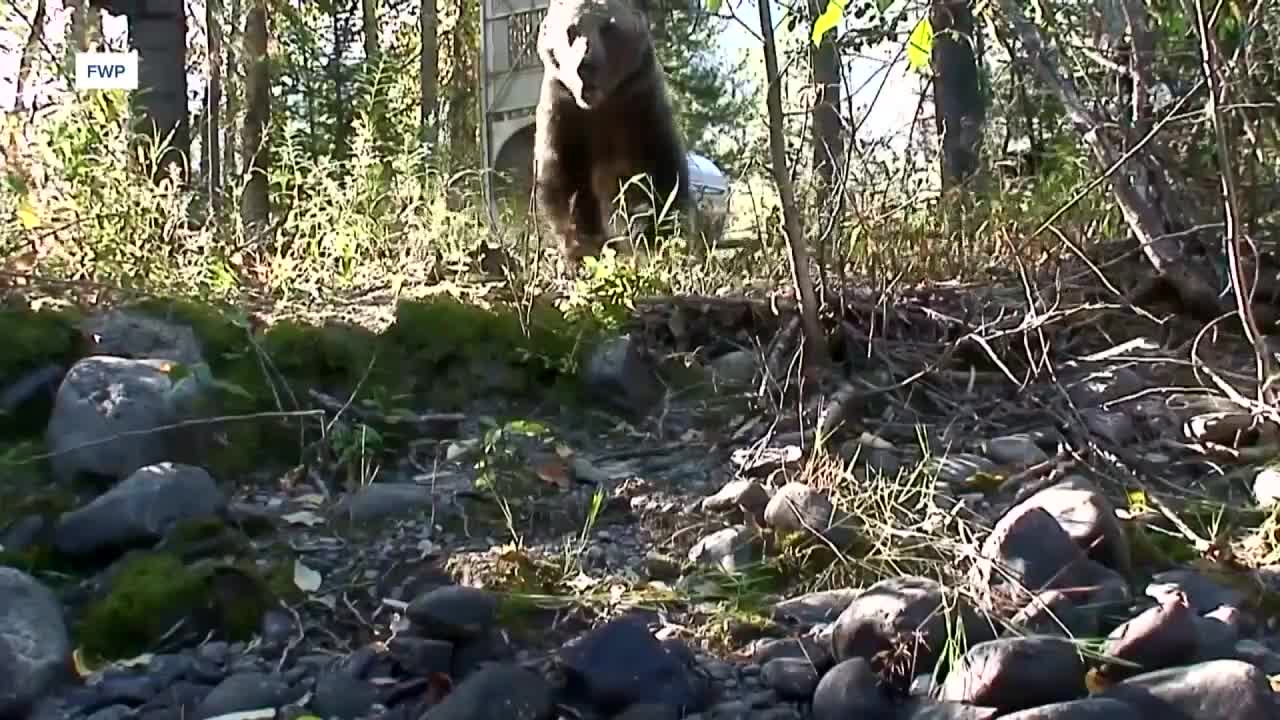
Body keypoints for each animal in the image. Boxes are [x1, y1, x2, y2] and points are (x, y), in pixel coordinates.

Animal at [532, 0, 692, 274]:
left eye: (609, 28)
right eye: (571, 30)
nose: (585, 65)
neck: (600, 106)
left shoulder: (640, 107)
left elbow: (664, 180)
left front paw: (657, 240)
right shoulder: (563, 112)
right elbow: (559, 182)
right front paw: (579, 251)